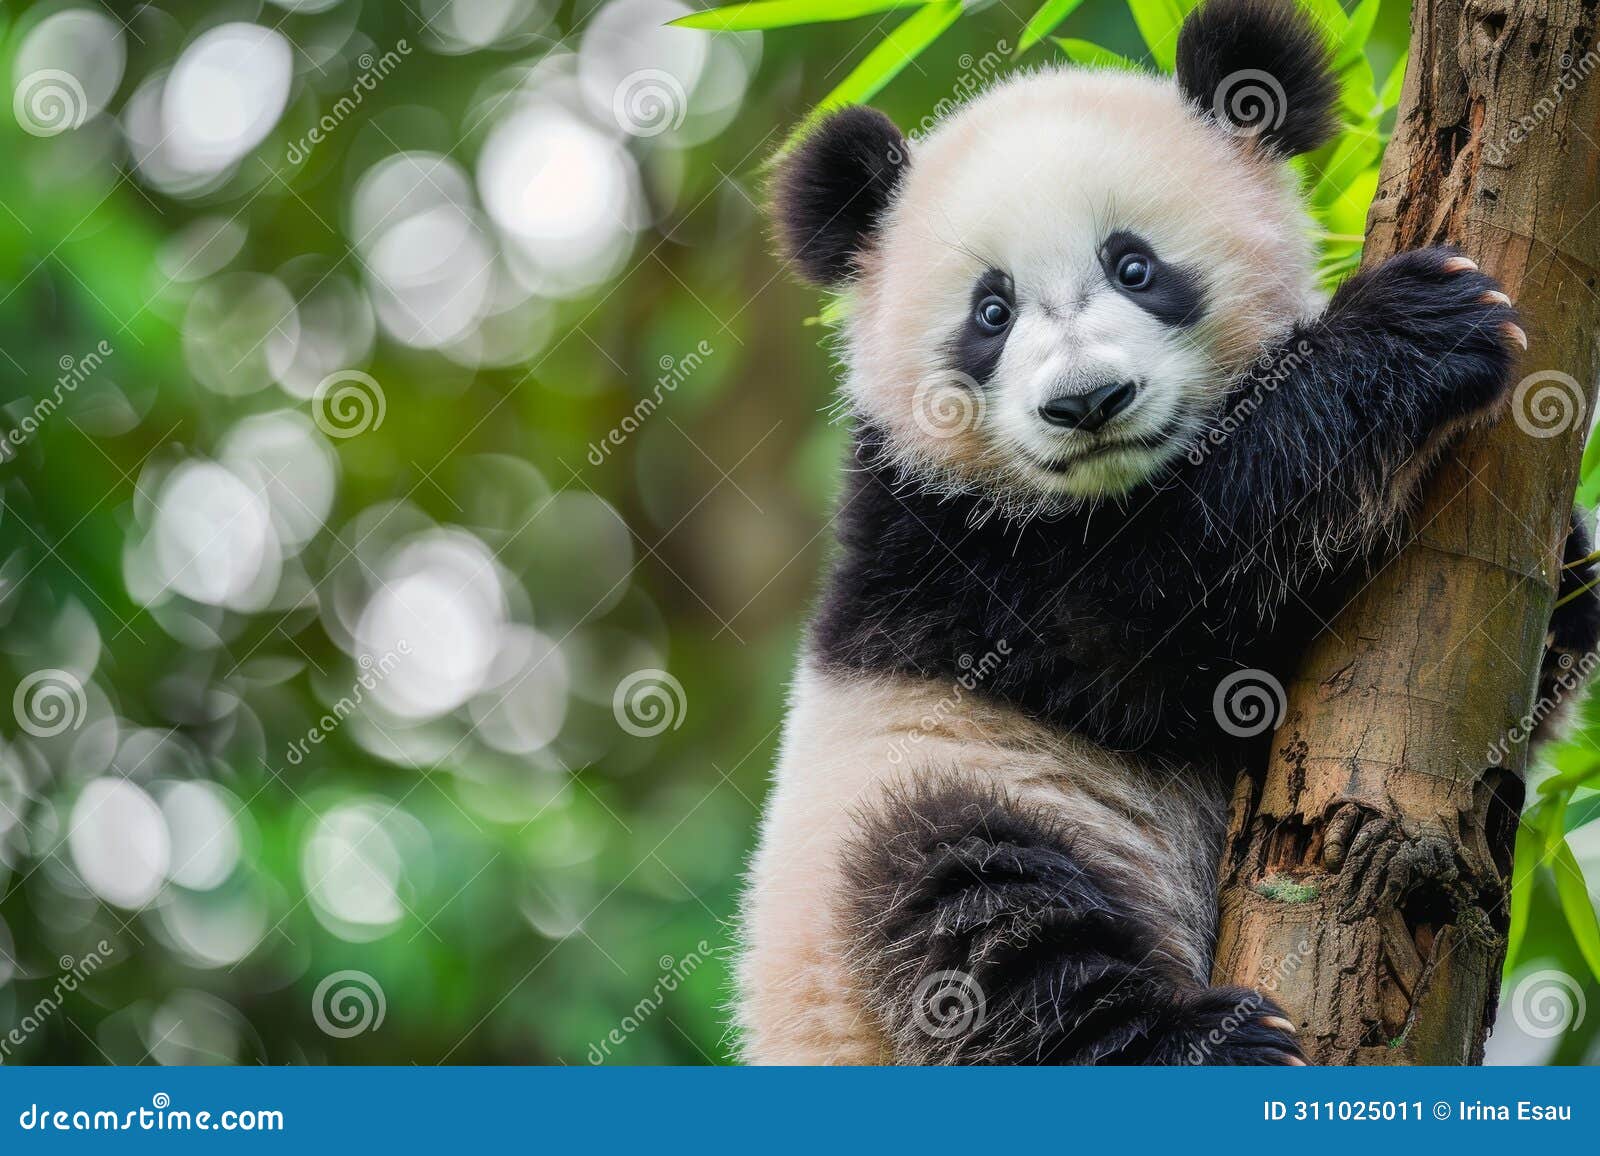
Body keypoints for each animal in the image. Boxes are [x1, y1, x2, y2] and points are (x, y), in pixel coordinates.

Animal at [735, 0, 1600, 1065]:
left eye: (1135, 265)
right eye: (991, 312)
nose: (1087, 402)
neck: (1103, 488)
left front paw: (1573, 562)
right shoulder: (937, 551)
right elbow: (1140, 612)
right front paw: (1416, 328)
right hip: (899, 823)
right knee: (976, 921)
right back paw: (1200, 1043)